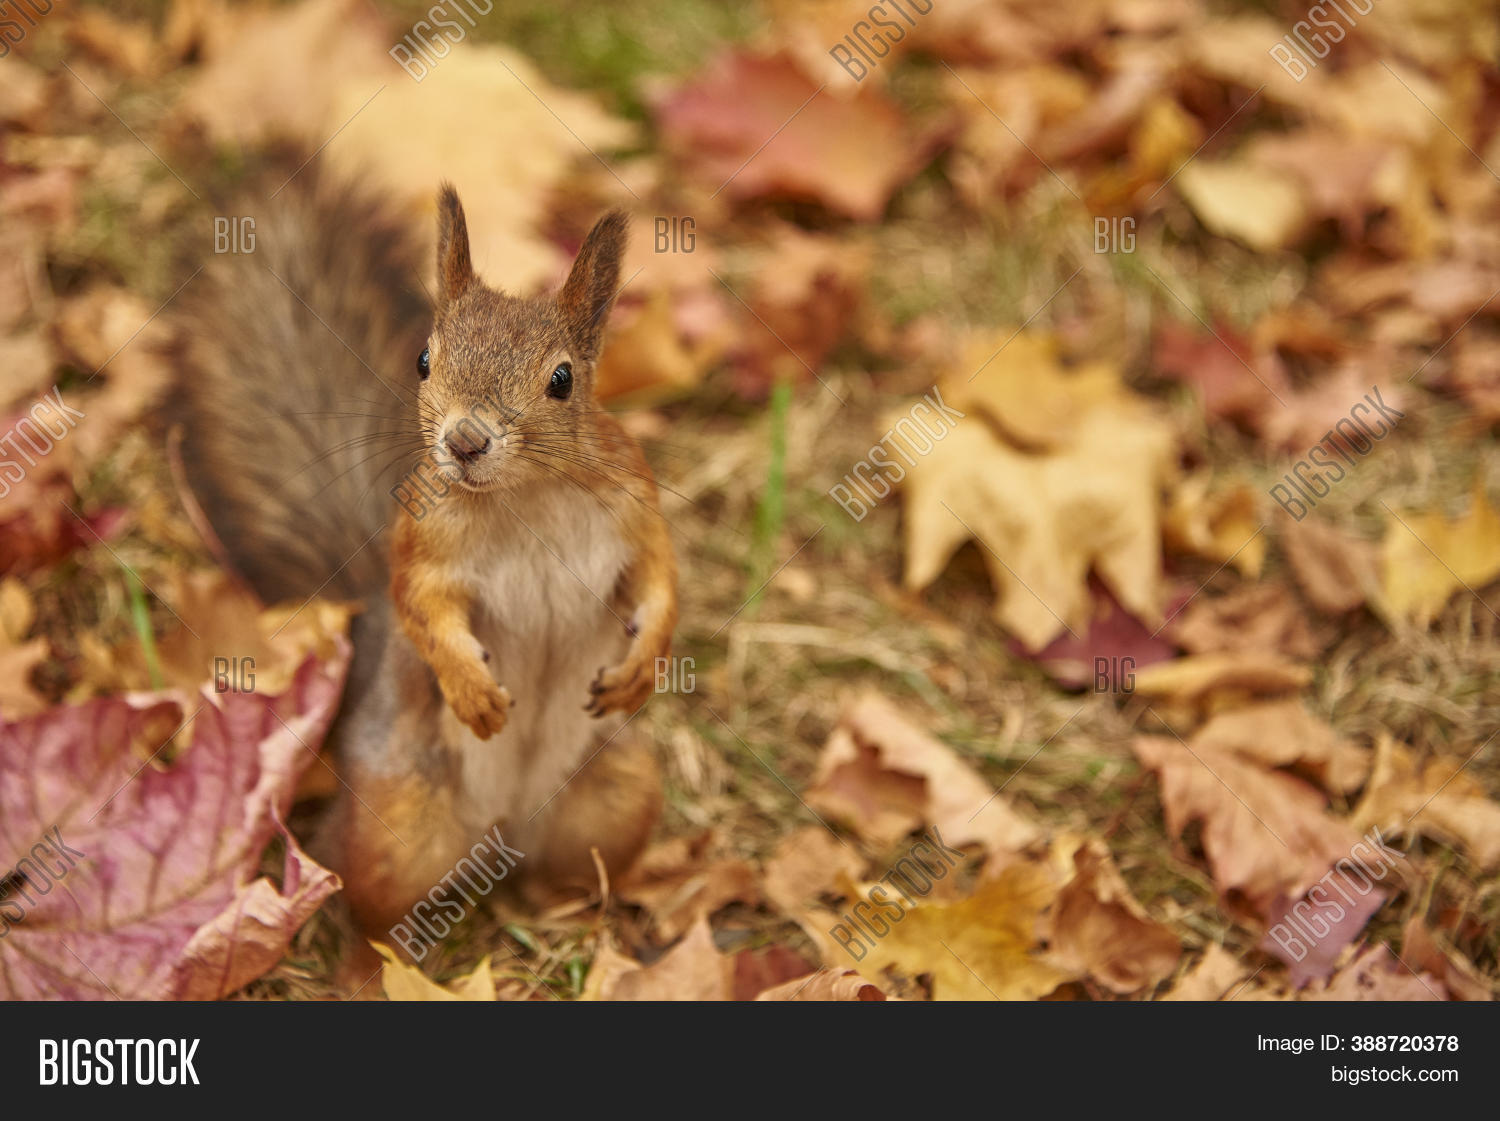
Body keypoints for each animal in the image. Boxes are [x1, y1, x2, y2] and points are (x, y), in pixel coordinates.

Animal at [173, 159, 677, 949]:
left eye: (562, 380)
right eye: (423, 359)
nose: (464, 440)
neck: (524, 498)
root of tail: (504, 828)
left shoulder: (637, 513)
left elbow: (659, 584)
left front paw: (642, 663)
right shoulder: (424, 548)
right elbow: (428, 612)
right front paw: (472, 690)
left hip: (617, 799)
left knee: (575, 873)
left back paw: (575, 917)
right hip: (397, 832)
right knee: (366, 905)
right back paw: (376, 964)